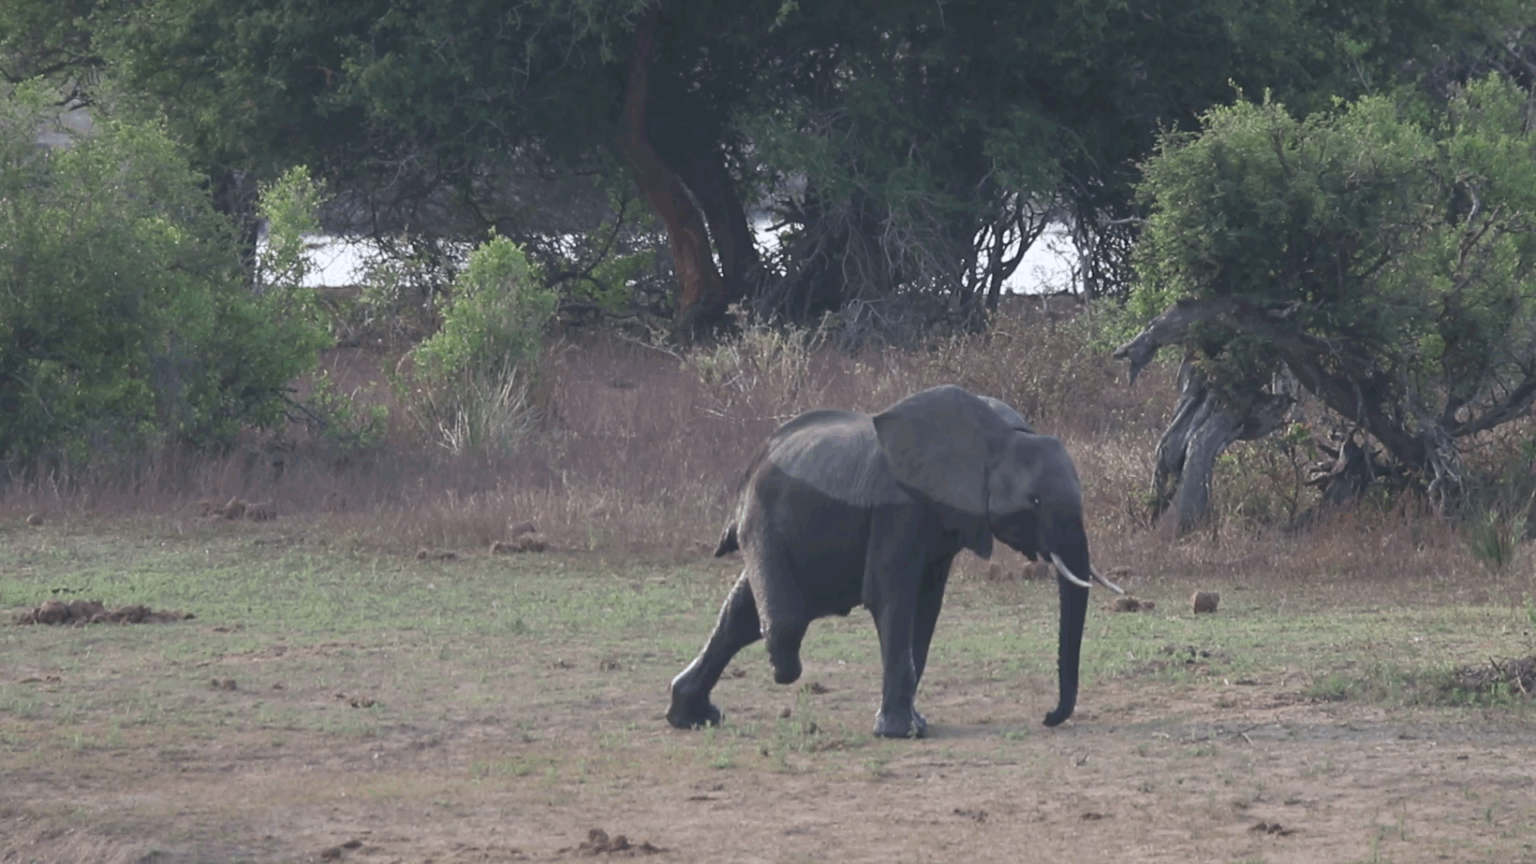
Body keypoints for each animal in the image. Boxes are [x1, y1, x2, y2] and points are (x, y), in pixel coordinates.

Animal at [667, 384, 1122, 738]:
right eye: (1035, 501)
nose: (1046, 717)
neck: (996, 437)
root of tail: (754, 460)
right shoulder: (897, 508)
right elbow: (891, 595)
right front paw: (902, 732)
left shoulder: (943, 520)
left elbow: (926, 604)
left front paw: (914, 722)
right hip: (764, 518)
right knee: (782, 618)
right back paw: (780, 669)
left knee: (739, 617)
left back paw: (692, 717)